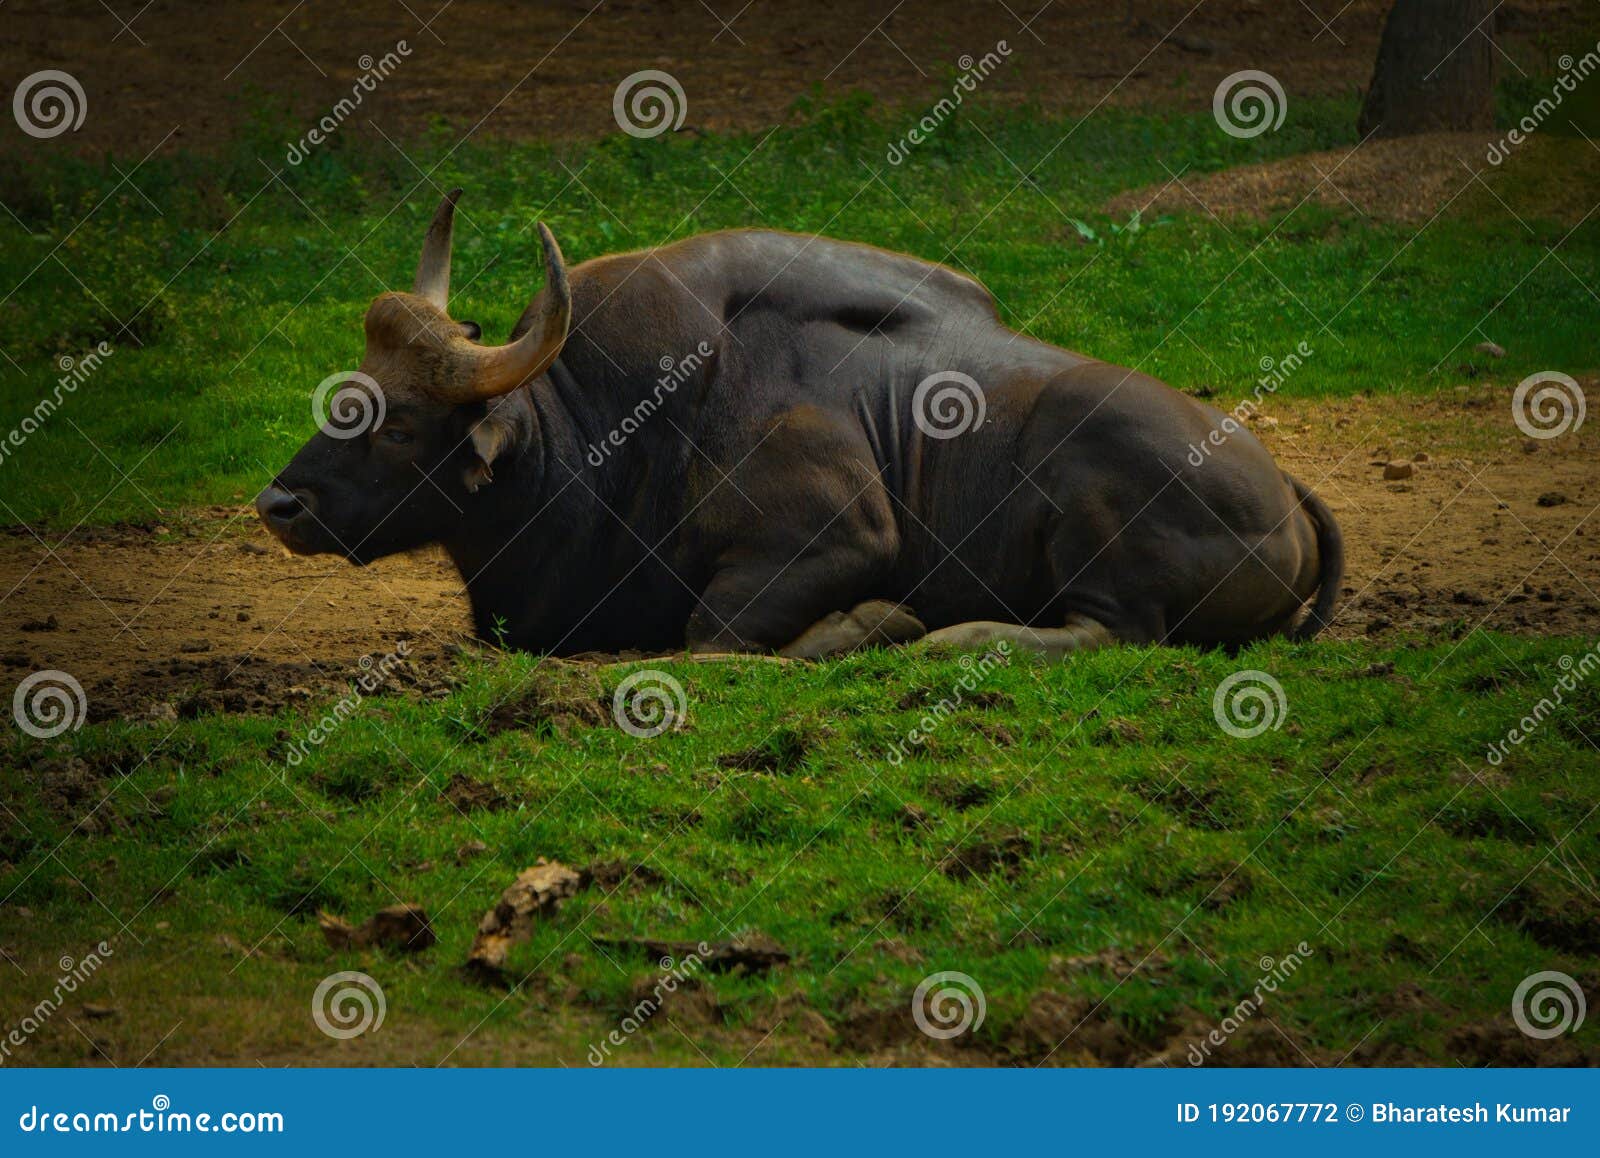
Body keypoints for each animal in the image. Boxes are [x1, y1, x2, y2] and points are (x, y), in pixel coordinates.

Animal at [257, 191, 1341, 658]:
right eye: (348, 389)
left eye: (401, 422)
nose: (280, 503)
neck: (606, 431)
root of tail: (1285, 493)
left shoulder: (836, 542)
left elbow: (714, 636)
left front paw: (877, 624)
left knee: (1114, 635)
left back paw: (955, 639)